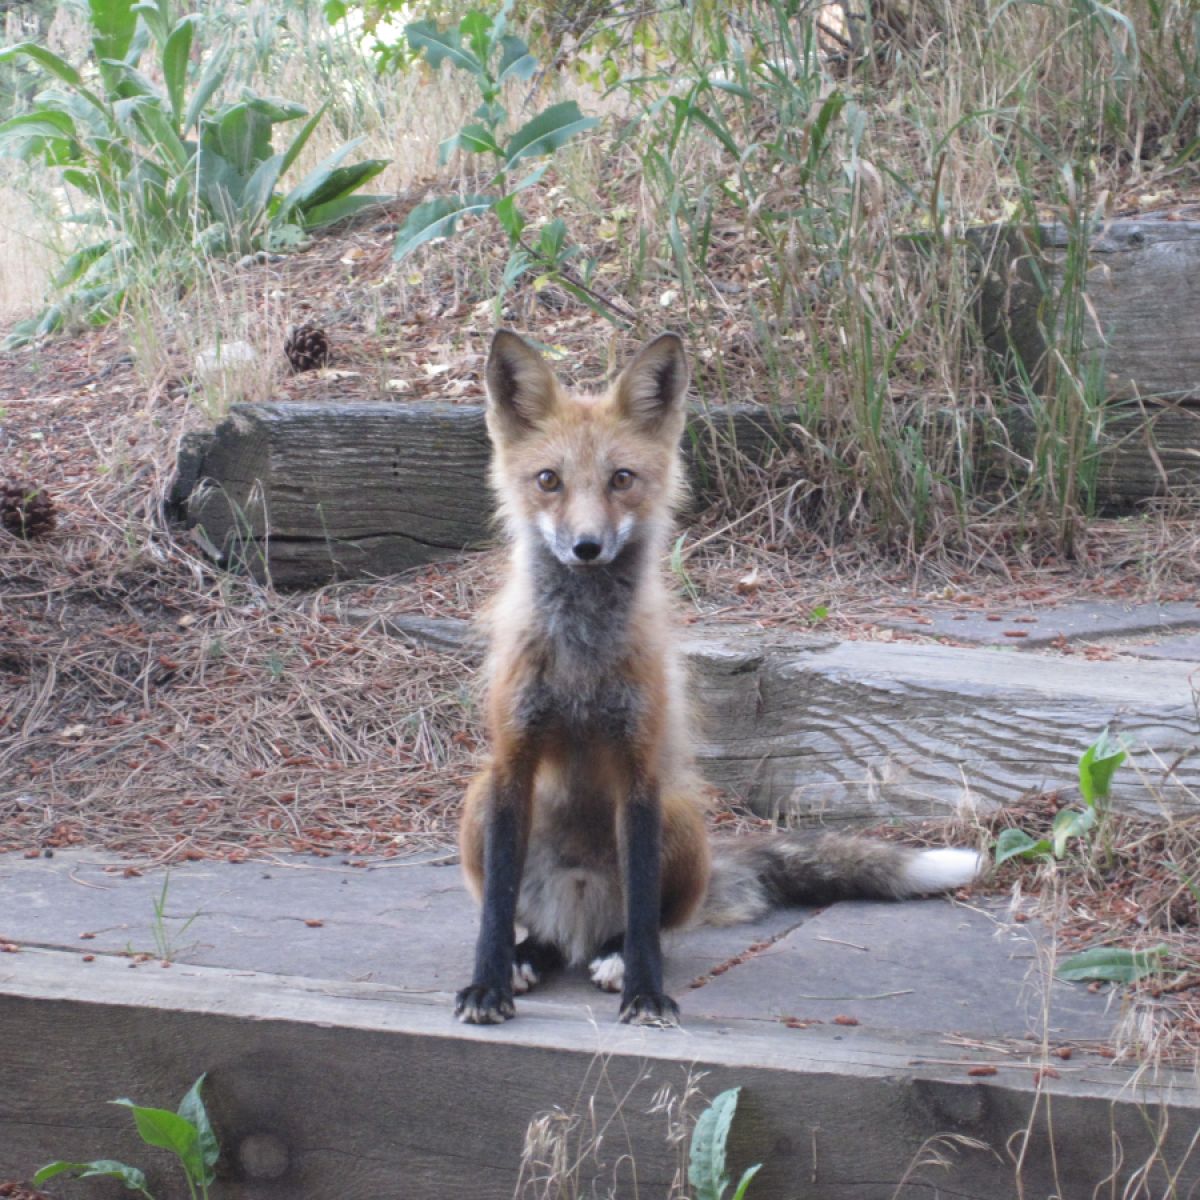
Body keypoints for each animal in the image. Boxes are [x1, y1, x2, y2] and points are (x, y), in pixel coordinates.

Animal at [455, 329, 982, 1026]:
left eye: (621, 479)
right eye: (549, 480)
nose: (587, 547)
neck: (580, 660)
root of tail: (577, 918)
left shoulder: (640, 767)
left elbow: (644, 910)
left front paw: (646, 993)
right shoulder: (512, 758)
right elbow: (492, 912)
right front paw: (487, 984)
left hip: (679, 816)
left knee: (645, 923)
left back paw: (614, 955)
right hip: (477, 803)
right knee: (533, 924)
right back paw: (532, 954)